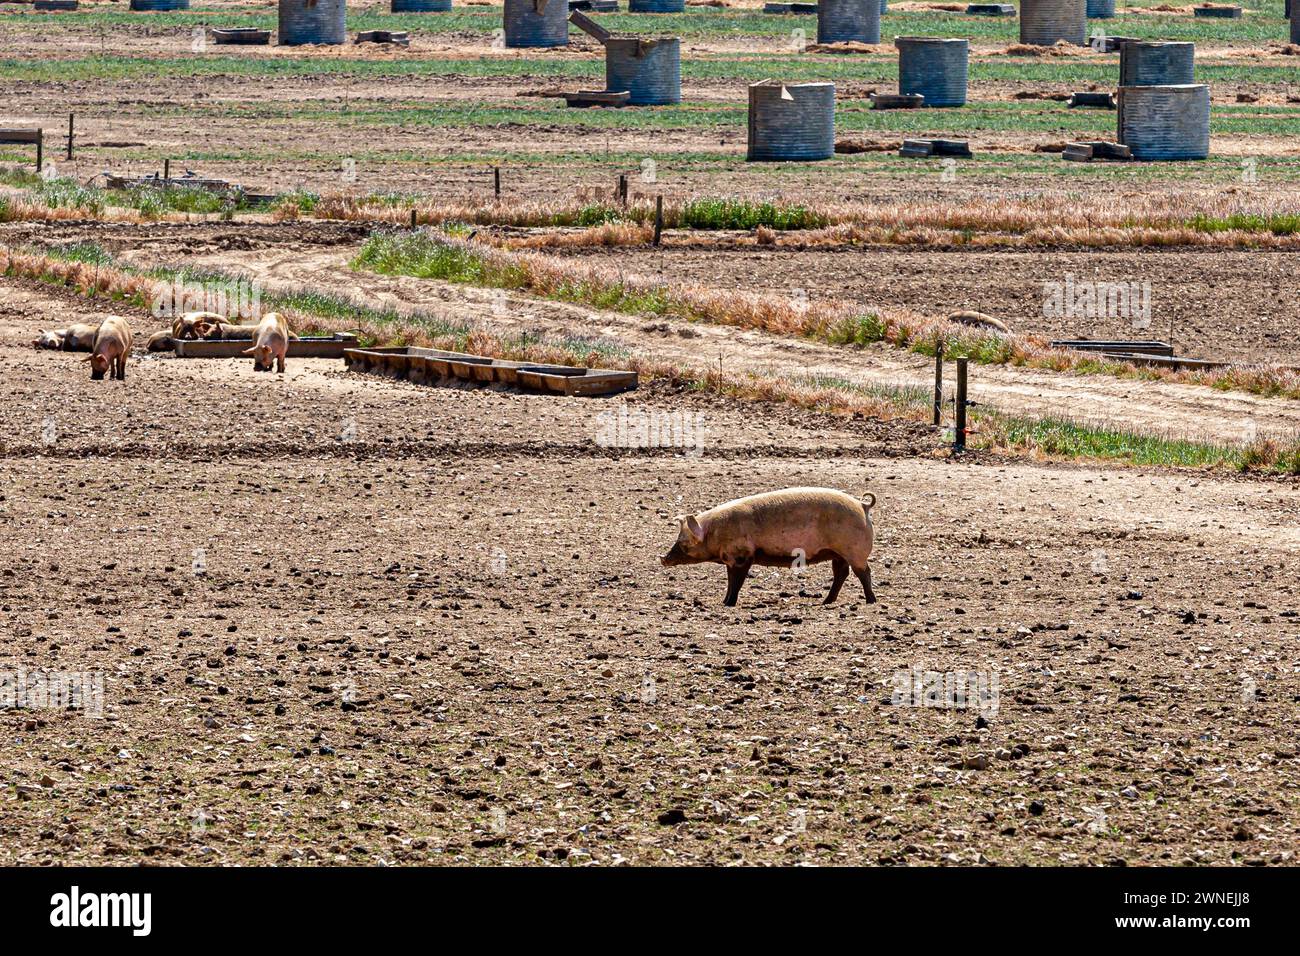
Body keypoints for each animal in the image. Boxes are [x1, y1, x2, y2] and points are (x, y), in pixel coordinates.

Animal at [660, 487, 877, 608]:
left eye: (684, 542)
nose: (663, 558)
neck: (714, 533)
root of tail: (863, 505)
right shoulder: (731, 559)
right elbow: (730, 581)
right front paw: (724, 601)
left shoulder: (742, 556)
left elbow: (736, 582)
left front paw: (729, 604)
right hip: (838, 553)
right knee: (841, 572)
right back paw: (826, 601)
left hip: (854, 550)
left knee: (863, 571)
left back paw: (870, 601)